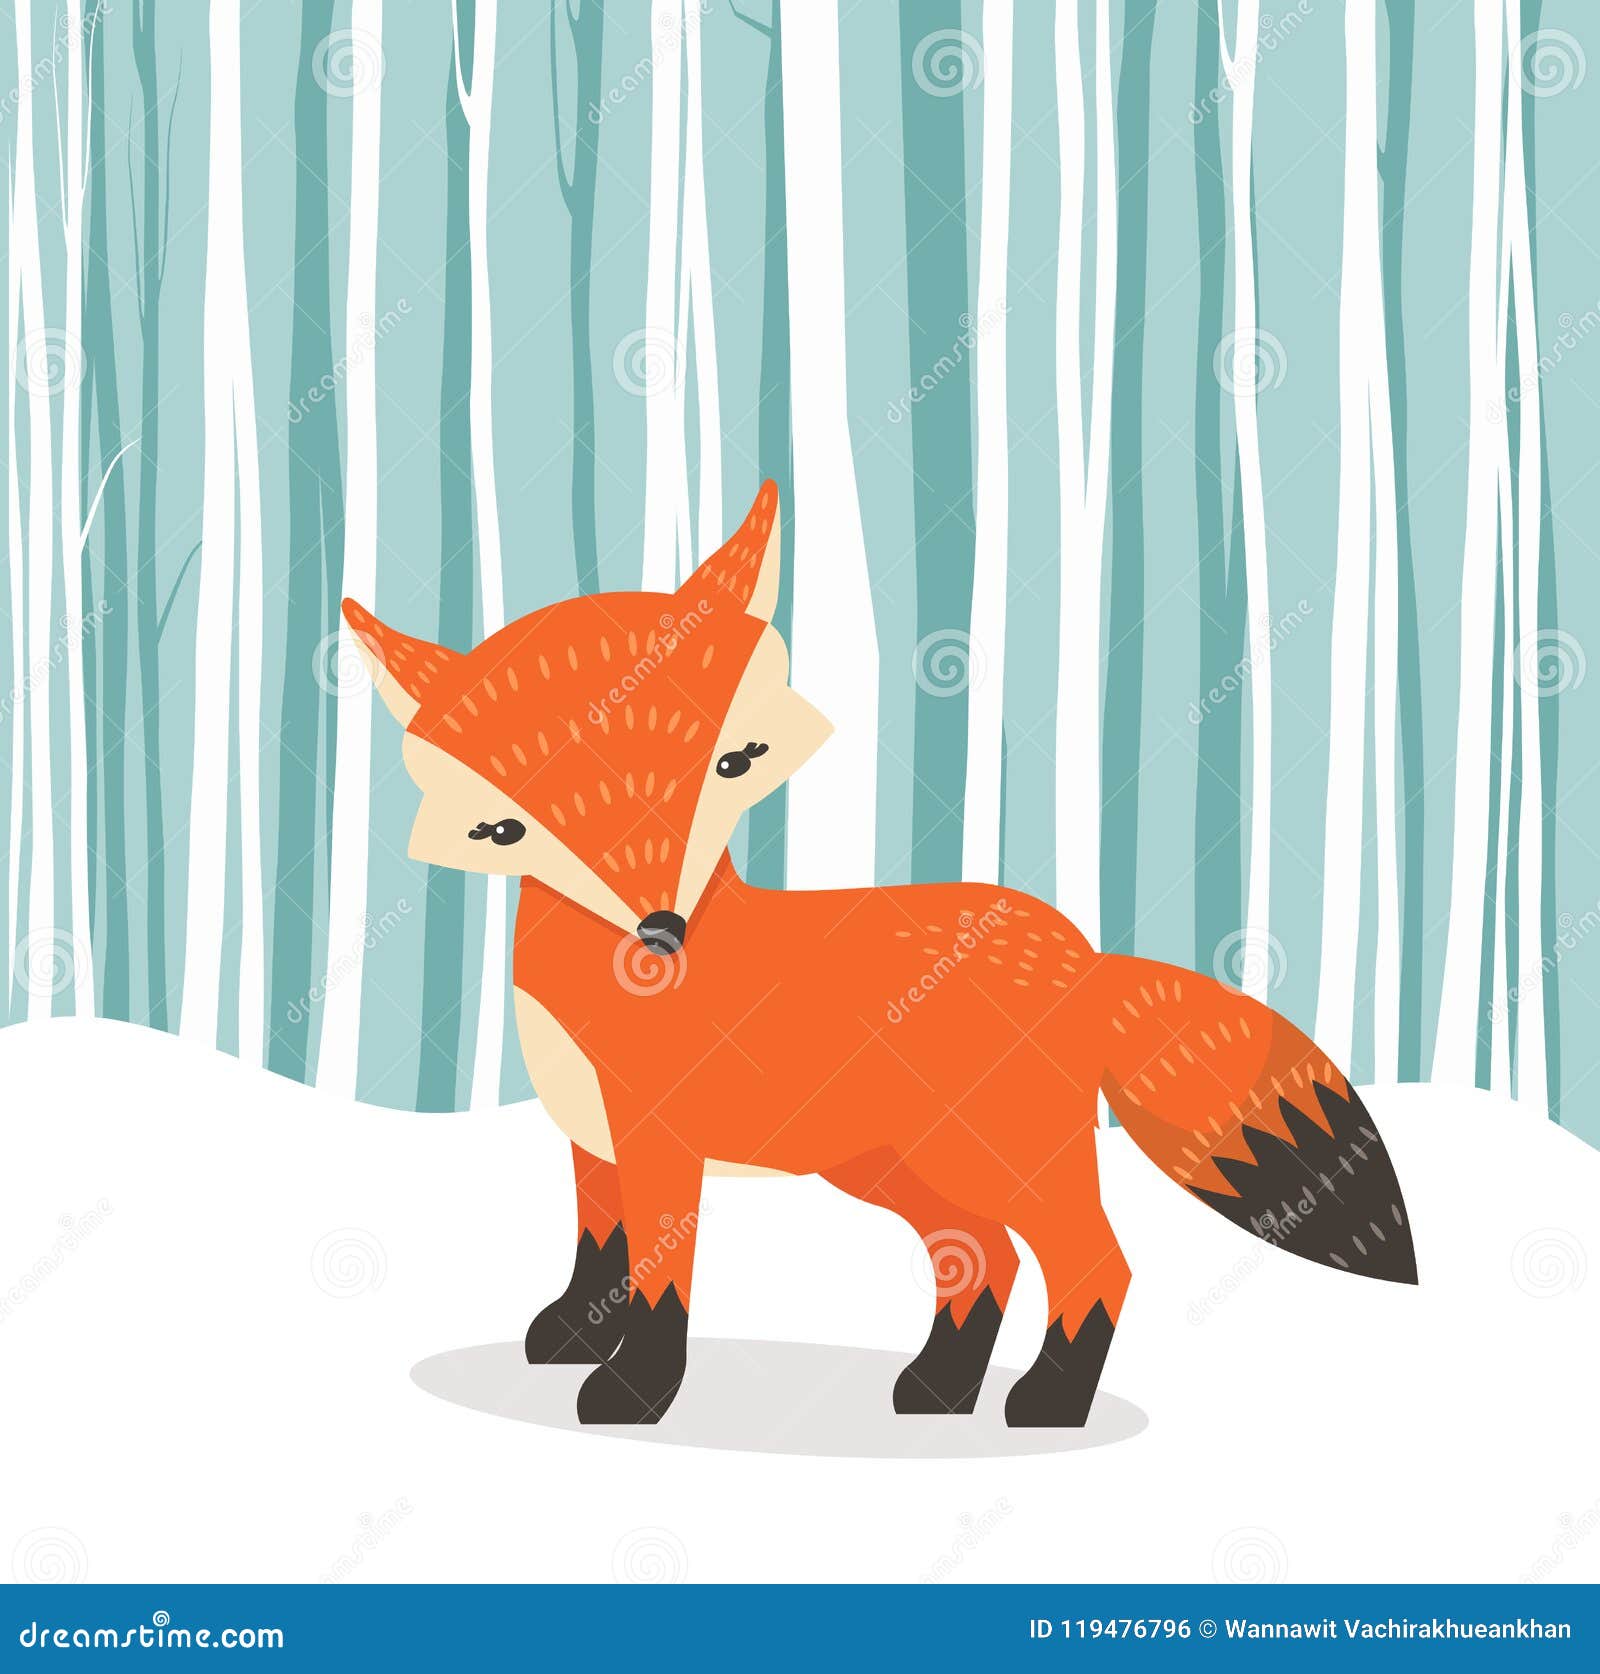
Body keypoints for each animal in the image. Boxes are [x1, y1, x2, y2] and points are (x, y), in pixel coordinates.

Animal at [344, 480, 1416, 1429]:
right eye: (507, 827)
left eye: (732, 764)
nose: (659, 934)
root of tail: (1085, 951)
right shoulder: (593, 1141)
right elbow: (598, 1257)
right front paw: (572, 1334)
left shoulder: (659, 1143)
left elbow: (657, 1282)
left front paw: (634, 1392)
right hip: (903, 1171)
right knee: (985, 1260)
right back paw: (940, 1388)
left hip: (999, 1163)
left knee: (1092, 1261)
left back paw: (1049, 1401)